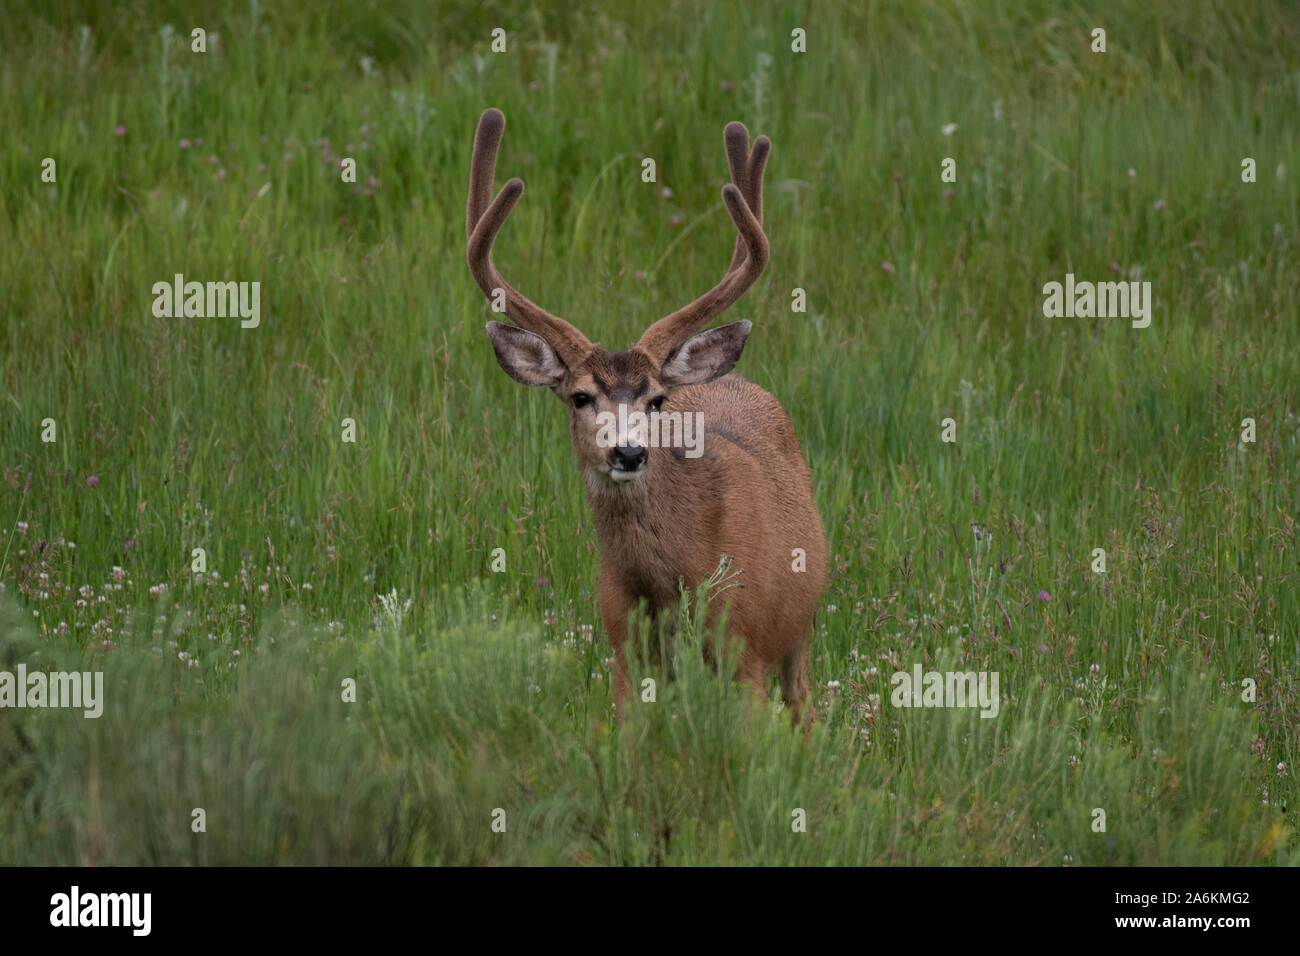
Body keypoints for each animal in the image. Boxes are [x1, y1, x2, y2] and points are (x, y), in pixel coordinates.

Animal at [466, 107, 826, 727]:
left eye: (656, 400)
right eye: (579, 396)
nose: (629, 452)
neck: (671, 576)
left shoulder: (747, 646)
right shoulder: (623, 650)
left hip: (798, 629)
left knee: (805, 710)